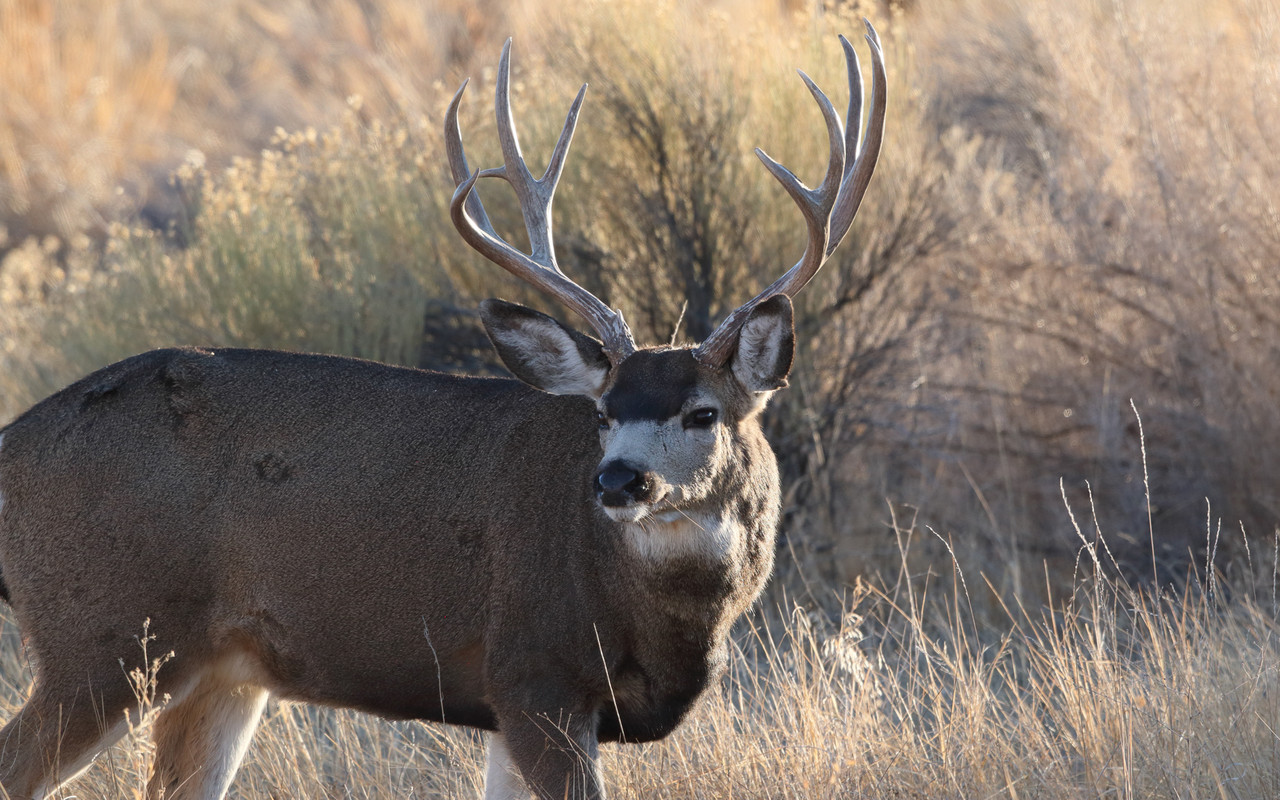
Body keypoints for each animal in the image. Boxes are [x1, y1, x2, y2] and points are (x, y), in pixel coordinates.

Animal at [0, 23, 885, 800]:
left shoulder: (509, 706)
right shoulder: (534, 673)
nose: (617, 482)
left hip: (220, 670)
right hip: (105, 634)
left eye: (703, 413)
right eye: (602, 412)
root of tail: (12, 444)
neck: (659, 618)